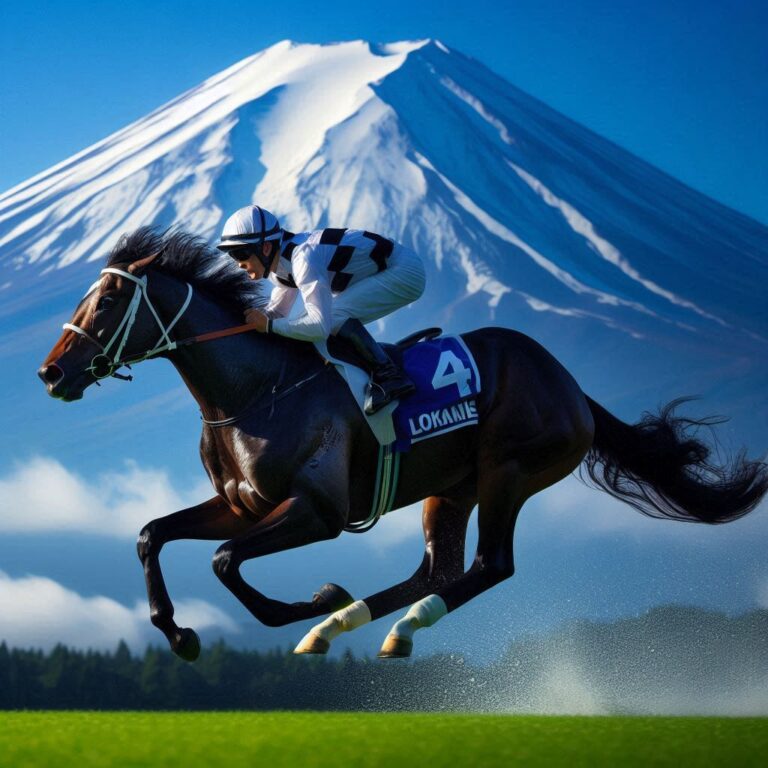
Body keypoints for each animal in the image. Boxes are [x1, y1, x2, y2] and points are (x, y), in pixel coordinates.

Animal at [39, 228, 768, 660]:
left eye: (107, 300)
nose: (51, 373)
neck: (254, 390)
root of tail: (571, 386)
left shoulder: (318, 512)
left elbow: (223, 561)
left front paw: (312, 599)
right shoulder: (243, 506)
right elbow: (151, 534)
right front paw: (181, 632)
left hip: (508, 470)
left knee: (490, 566)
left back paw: (381, 623)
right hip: (451, 488)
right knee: (436, 570)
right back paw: (350, 626)